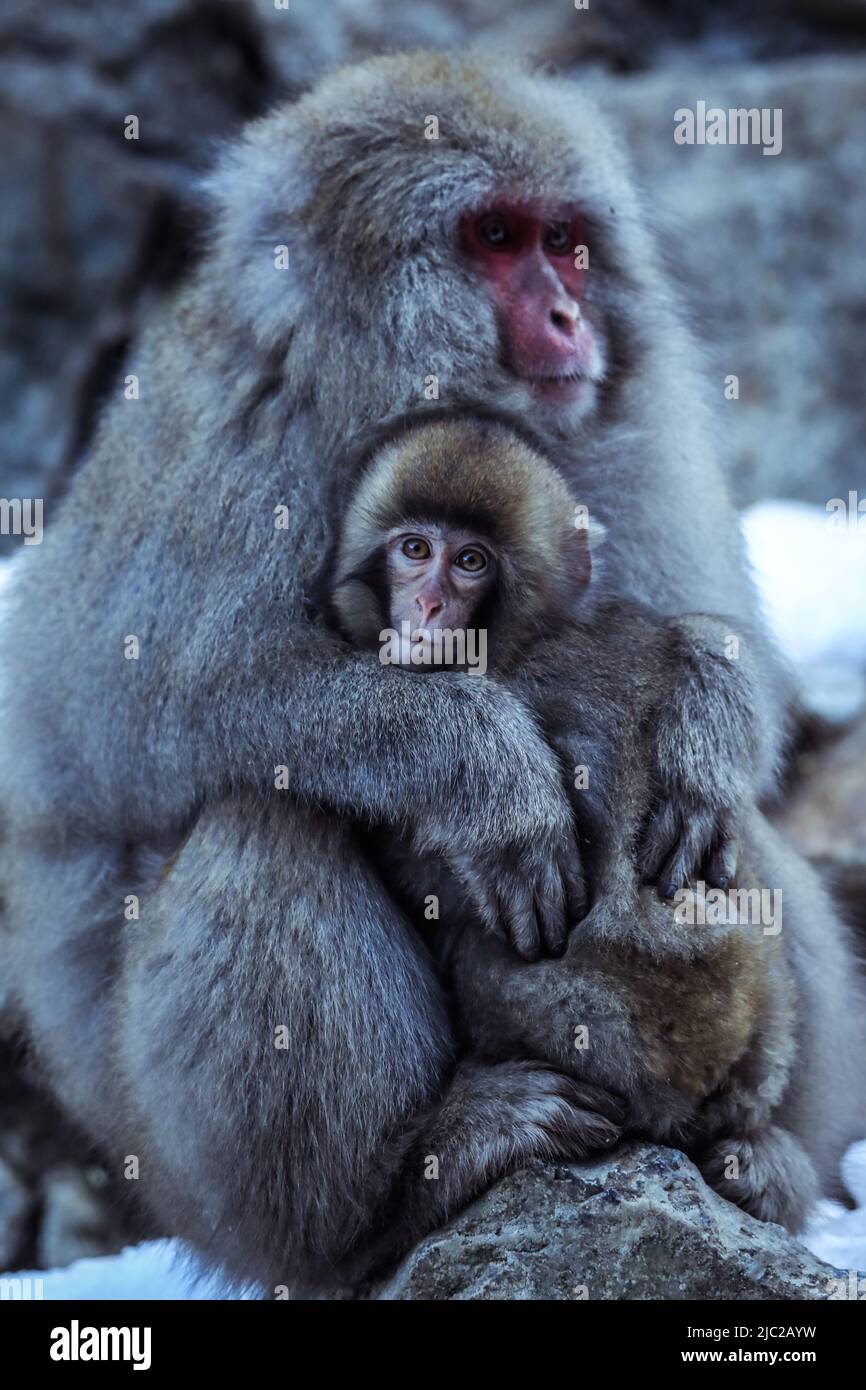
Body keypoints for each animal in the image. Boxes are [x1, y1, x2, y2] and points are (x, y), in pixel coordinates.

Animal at [0, 52, 797, 1292]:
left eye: (565, 240)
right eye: (495, 235)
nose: (568, 314)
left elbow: (710, 648)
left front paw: (708, 711)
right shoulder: (232, 435)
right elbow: (144, 723)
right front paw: (477, 766)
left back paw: (756, 1153)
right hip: (187, 1177)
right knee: (264, 823)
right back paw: (401, 1188)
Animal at [331, 414, 866, 1234]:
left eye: (471, 561)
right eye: (414, 549)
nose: (426, 612)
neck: (518, 636)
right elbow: (669, 634)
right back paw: (764, 1163)